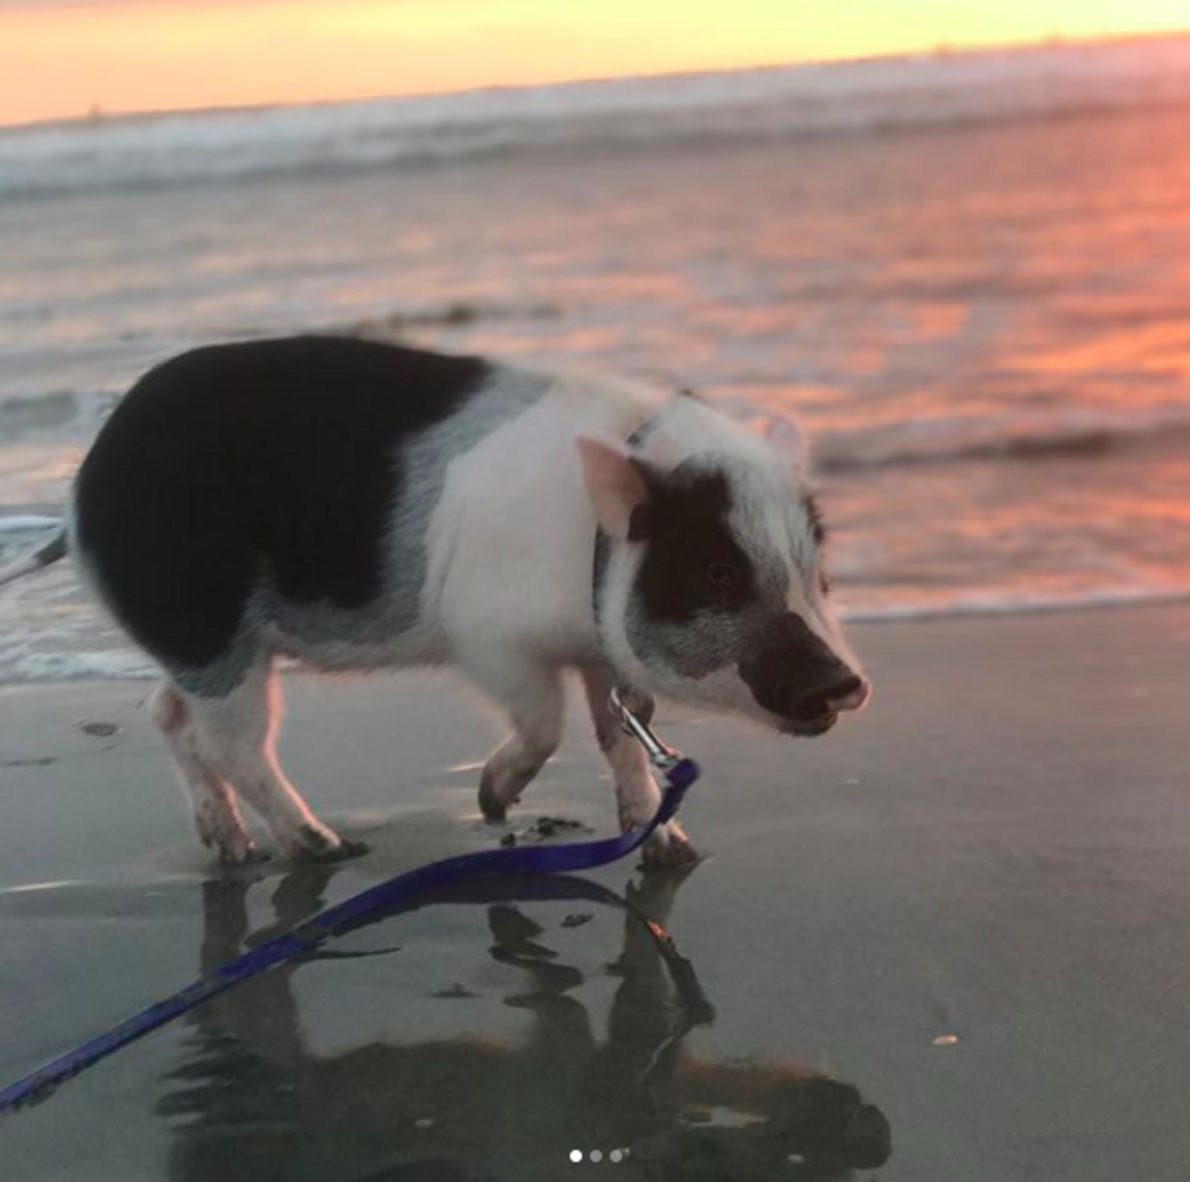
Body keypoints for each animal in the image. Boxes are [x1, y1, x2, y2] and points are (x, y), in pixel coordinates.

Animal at [3, 336, 869, 866]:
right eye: (719, 570)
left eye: (818, 571)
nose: (848, 684)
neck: (586, 547)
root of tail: (79, 500)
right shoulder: (485, 636)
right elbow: (546, 719)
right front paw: (492, 804)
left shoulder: (598, 653)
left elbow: (620, 734)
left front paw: (670, 849)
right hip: (208, 630)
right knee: (238, 747)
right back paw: (325, 847)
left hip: (203, 642)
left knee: (166, 714)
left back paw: (233, 849)